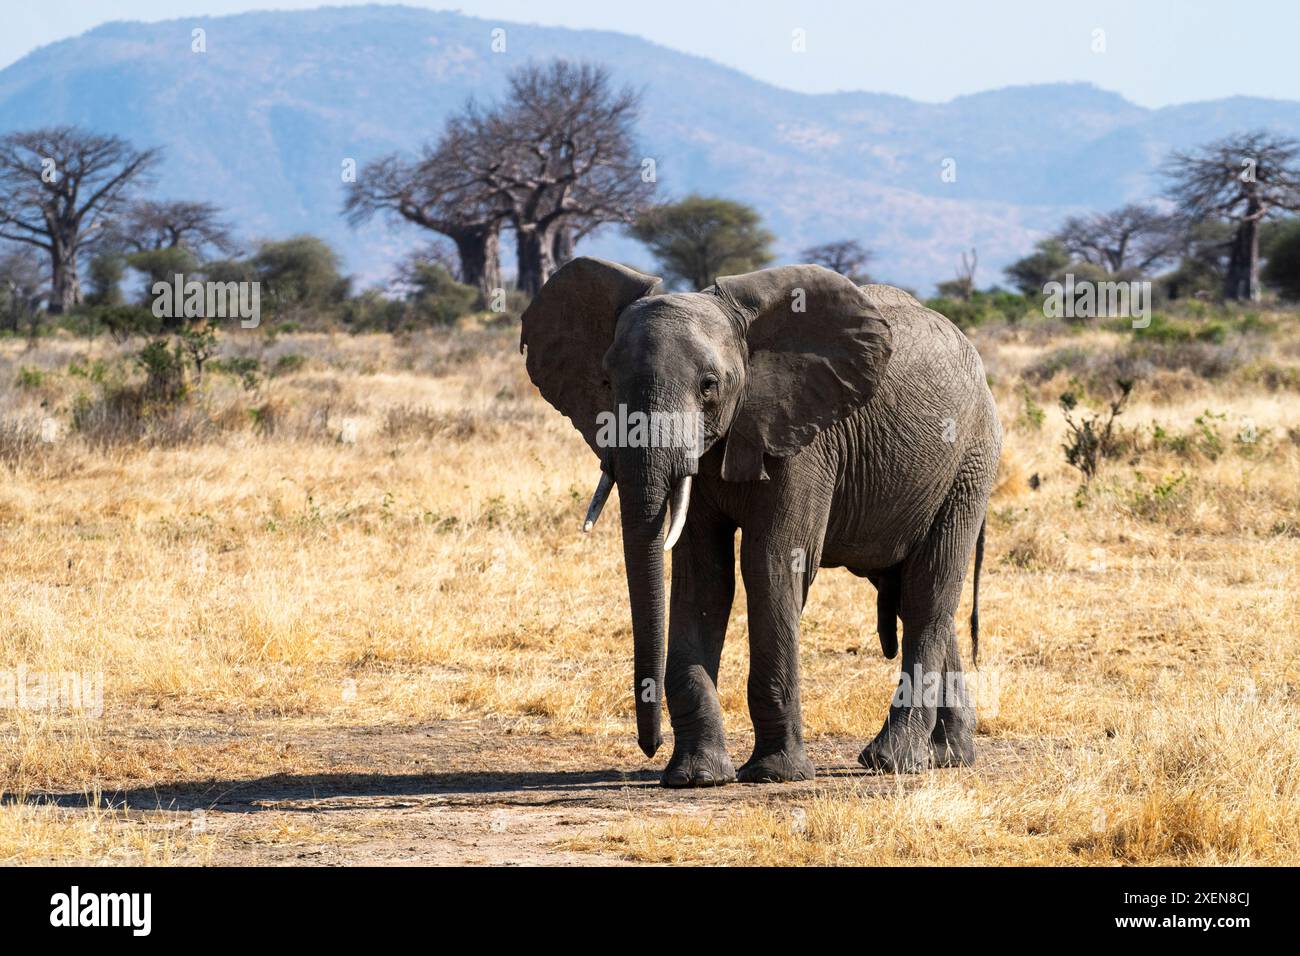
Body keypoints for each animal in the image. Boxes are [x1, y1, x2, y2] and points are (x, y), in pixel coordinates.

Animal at [520, 257, 1001, 787]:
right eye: (606, 382)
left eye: (709, 386)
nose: (650, 745)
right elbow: (703, 578)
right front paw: (696, 776)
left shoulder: (803, 438)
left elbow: (769, 563)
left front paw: (775, 774)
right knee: (916, 594)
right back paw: (948, 756)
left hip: (969, 463)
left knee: (927, 594)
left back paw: (891, 761)